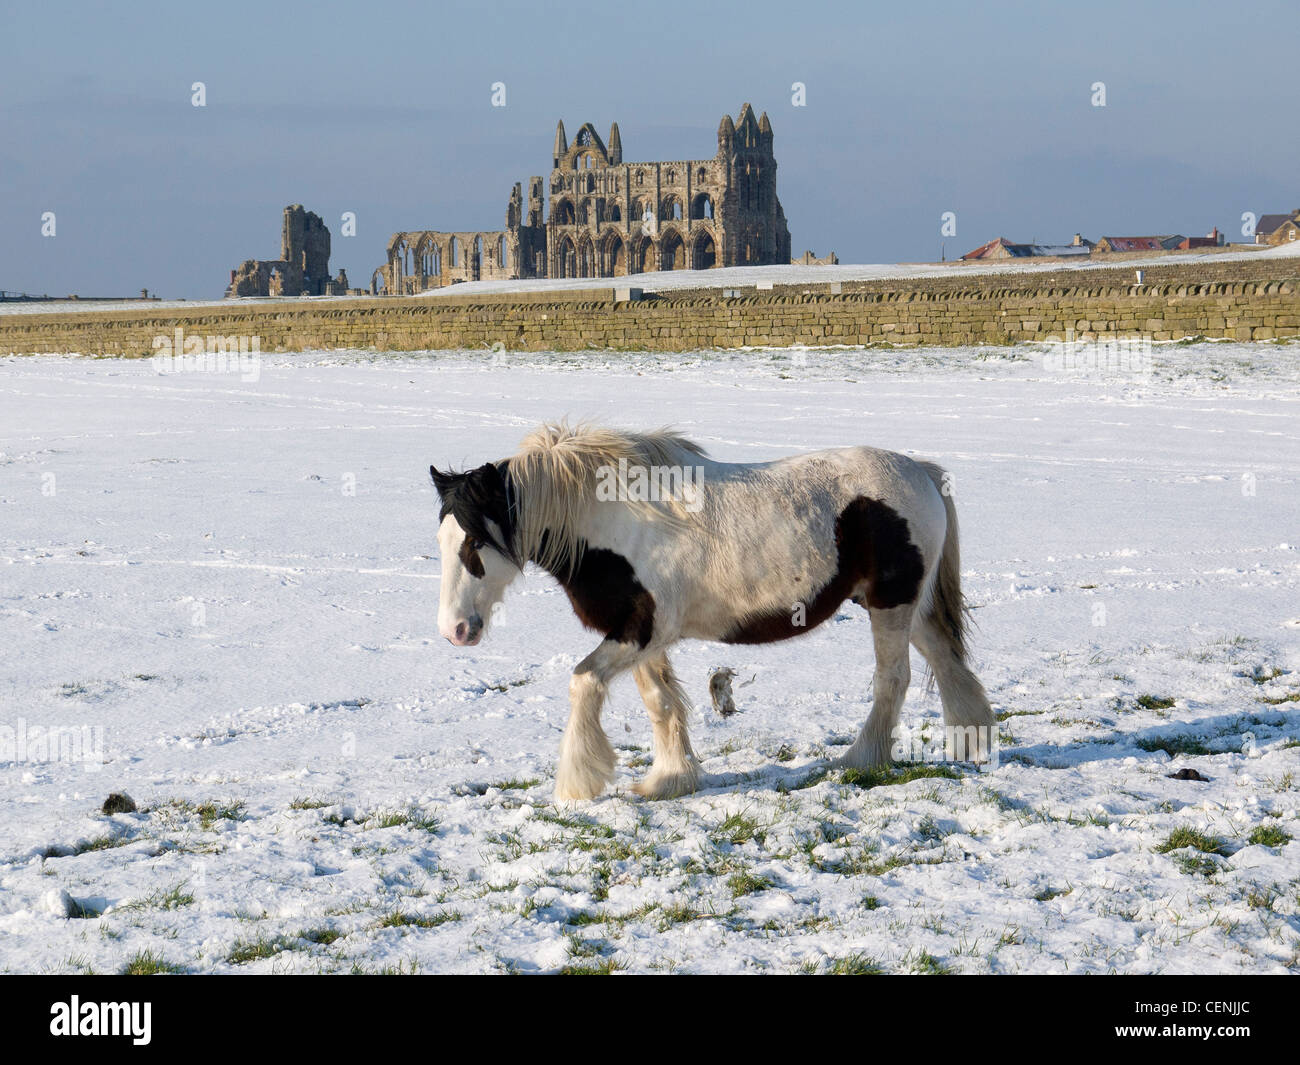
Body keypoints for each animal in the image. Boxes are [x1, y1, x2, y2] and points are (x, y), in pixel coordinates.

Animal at [430, 422, 994, 801]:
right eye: (442, 541)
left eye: (475, 542)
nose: (455, 631)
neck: (611, 522)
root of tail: (923, 473)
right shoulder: (643, 636)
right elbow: (660, 703)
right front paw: (669, 779)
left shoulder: (638, 631)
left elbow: (584, 683)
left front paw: (578, 784)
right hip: (910, 606)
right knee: (947, 663)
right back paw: (969, 743)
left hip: (891, 606)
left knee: (893, 678)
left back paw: (862, 759)